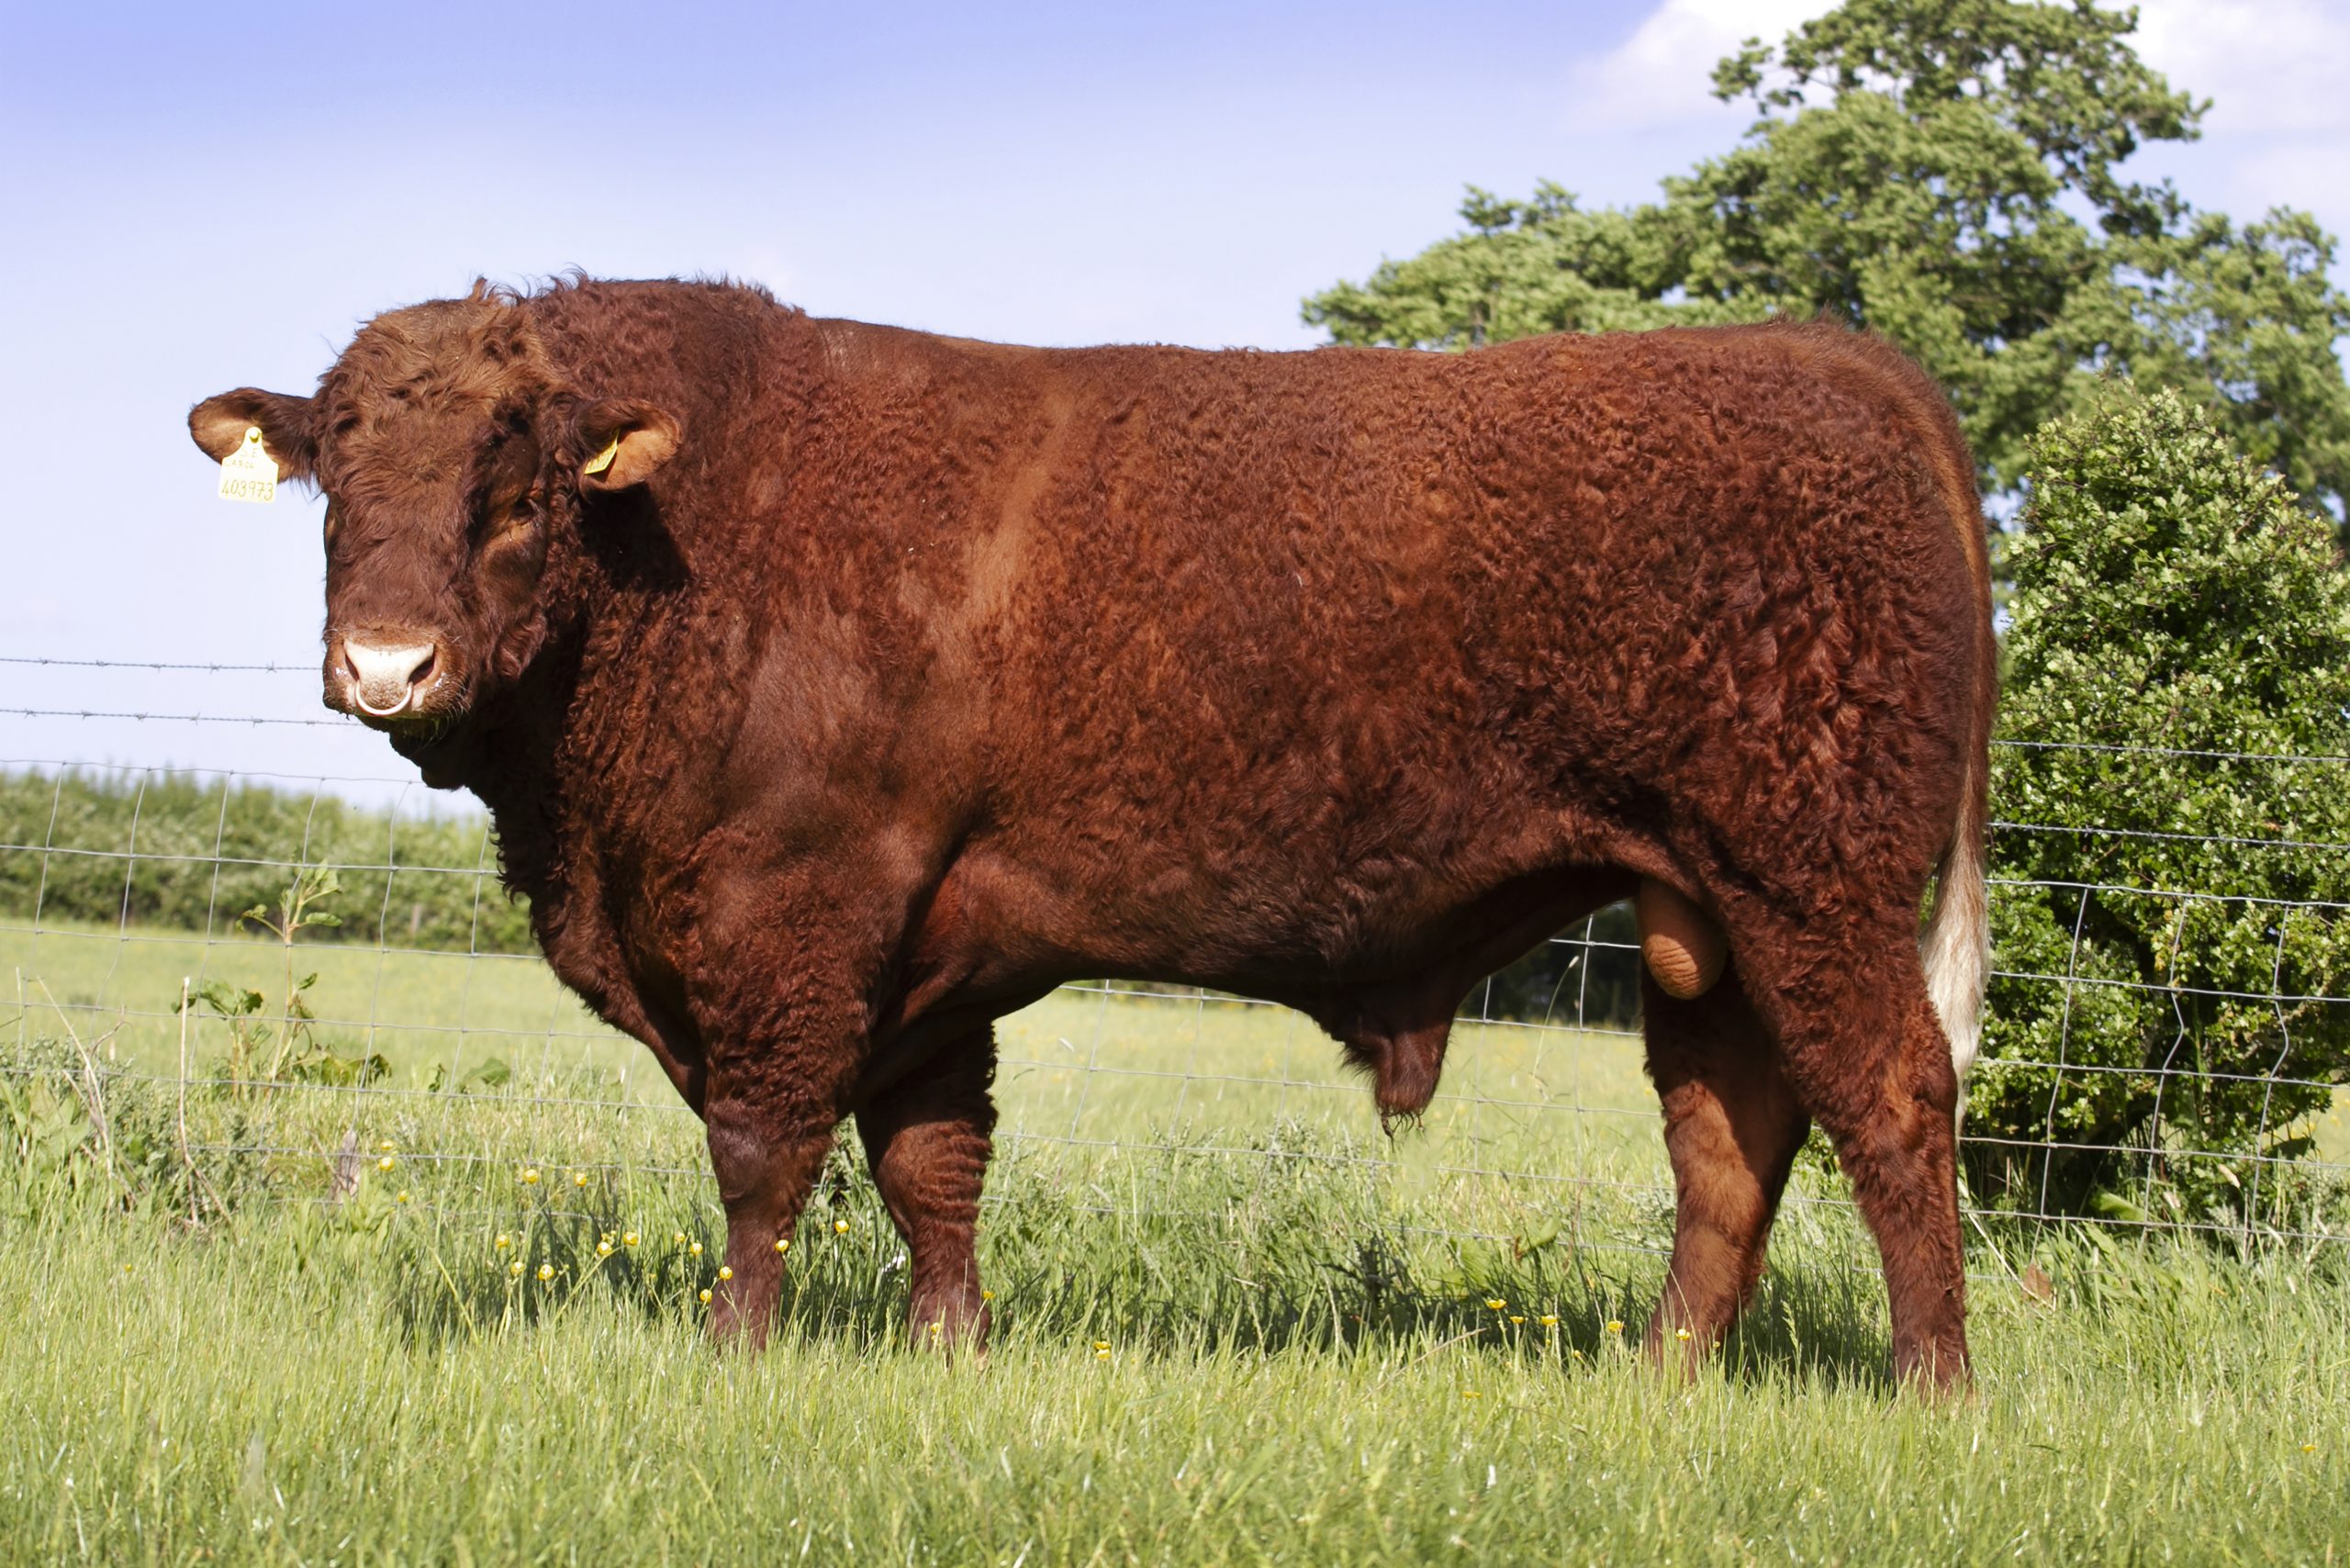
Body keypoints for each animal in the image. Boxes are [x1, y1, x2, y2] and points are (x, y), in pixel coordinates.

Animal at [190, 278, 1993, 1388]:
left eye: (518, 493)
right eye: (335, 487)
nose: (387, 665)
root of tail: (1827, 355)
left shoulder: (799, 910)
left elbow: (766, 1150)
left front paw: (735, 1350)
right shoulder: (923, 948)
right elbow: (928, 1161)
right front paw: (952, 1351)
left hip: (1813, 884)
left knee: (1893, 1101)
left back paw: (1934, 1385)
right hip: (1709, 914)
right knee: (1729, 1136)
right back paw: (1664, 1371)